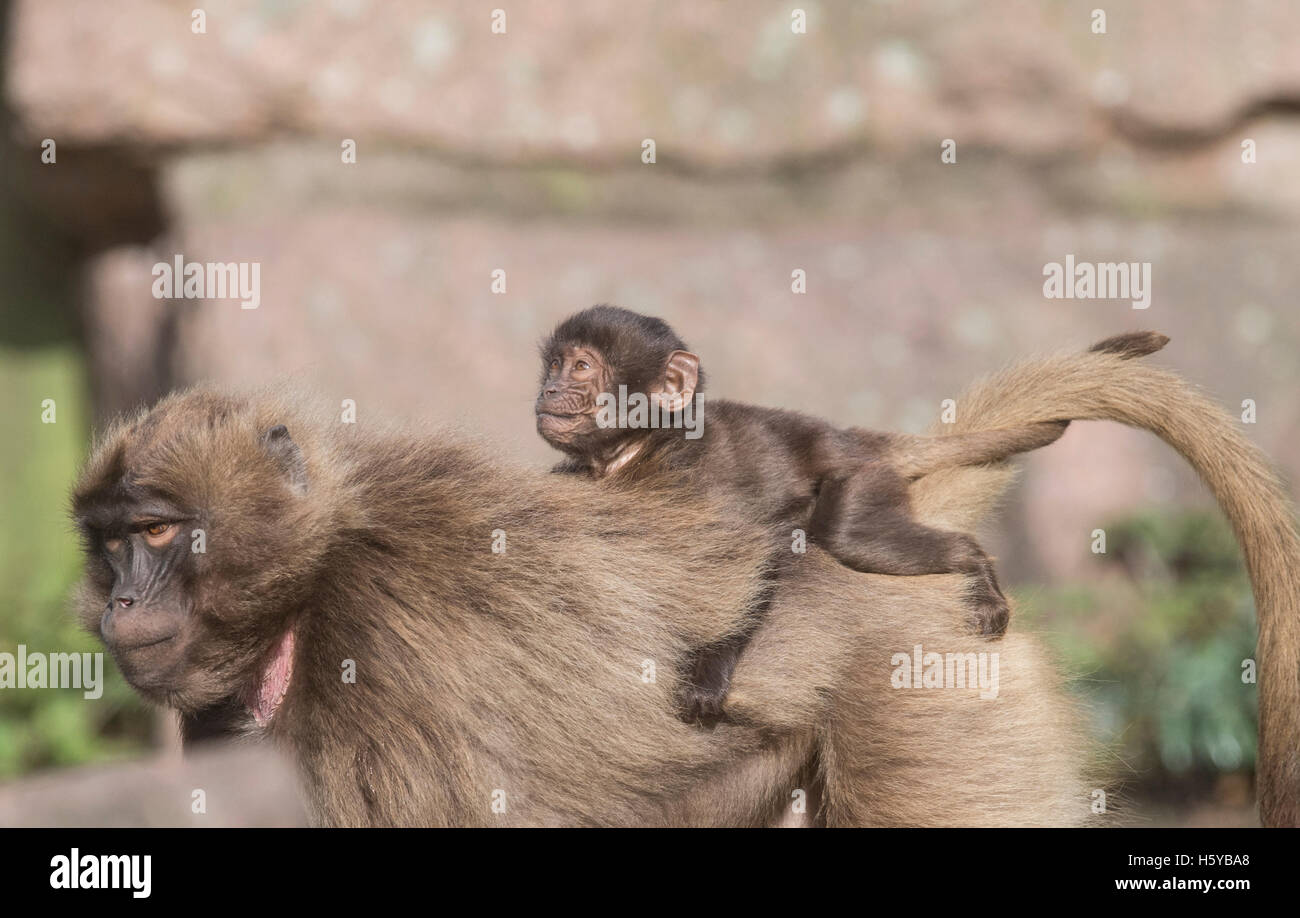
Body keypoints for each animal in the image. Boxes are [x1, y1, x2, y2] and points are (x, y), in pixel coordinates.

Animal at [535, 305, 1077, 719]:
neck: (642, 447)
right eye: (555, 365)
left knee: (842, 533)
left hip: (864, 477)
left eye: (581, 367)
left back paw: (971, 562)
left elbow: (759, 558)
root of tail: (842, 437)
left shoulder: (697, 480)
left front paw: (707, 675)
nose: (547, 390)